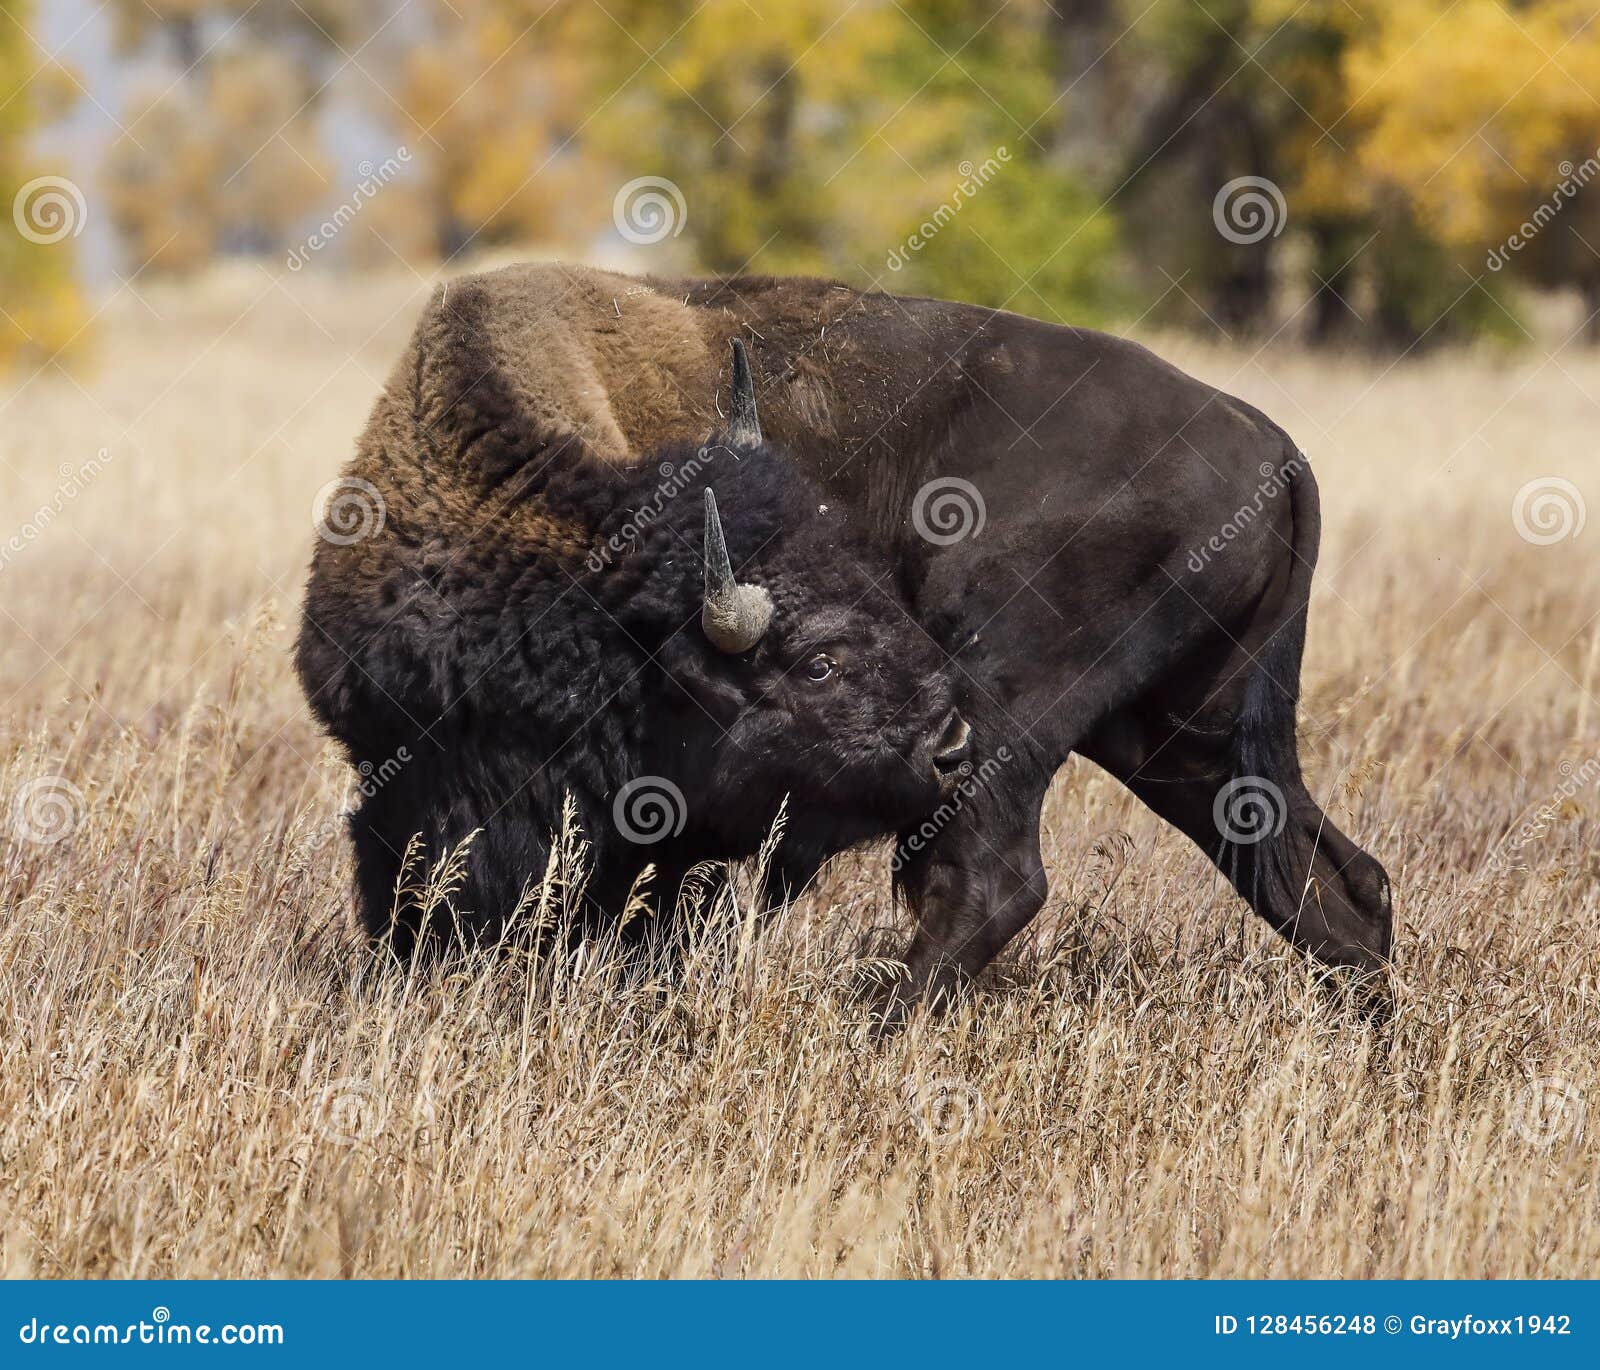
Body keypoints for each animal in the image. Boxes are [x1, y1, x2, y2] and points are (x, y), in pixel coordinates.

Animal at [297, 261, 1393, 1023]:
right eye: (819, 659)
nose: (944, 743)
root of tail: (1276, 453)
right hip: (1181, 738)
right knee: (1333, 879)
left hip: (1024, 720)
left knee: (991, 881)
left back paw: (874, 1024)